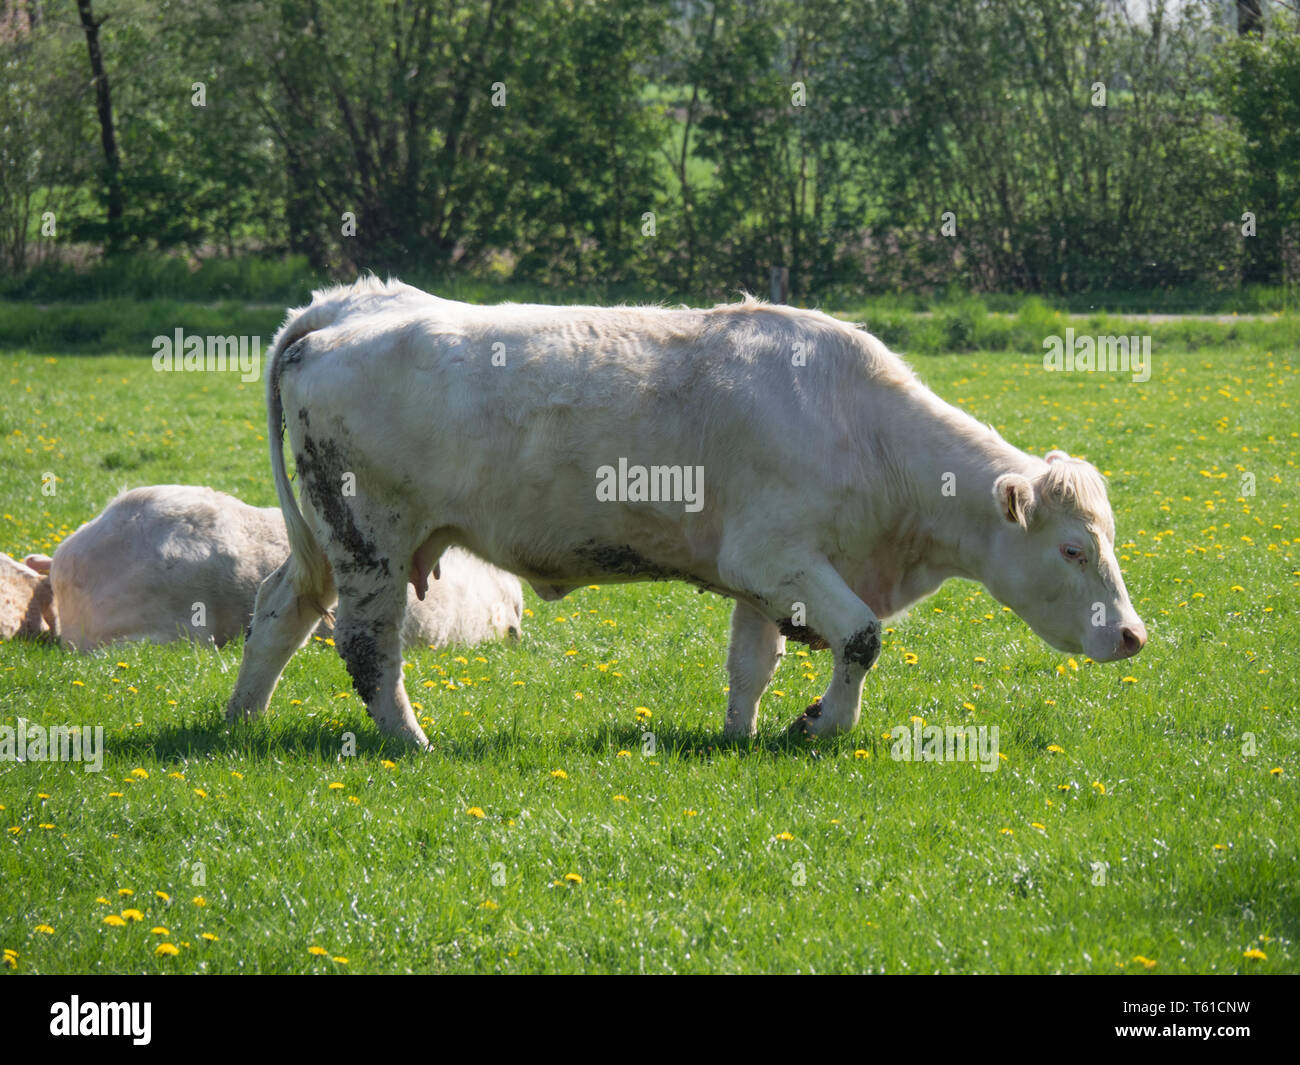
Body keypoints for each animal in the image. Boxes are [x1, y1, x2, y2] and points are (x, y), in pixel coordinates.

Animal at [228, 277, 1146, 749]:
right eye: (1073, 550)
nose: (1134, 634)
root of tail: (352, 301)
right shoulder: (777, 558)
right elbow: (859, 636)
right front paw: (823, 724)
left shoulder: (766, 577)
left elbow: (752, 664)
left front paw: (742, 733)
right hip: (369, 543)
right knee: (366, 645)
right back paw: (410, 740)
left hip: (322, 543)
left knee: (278, 610)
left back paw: (241, 718)